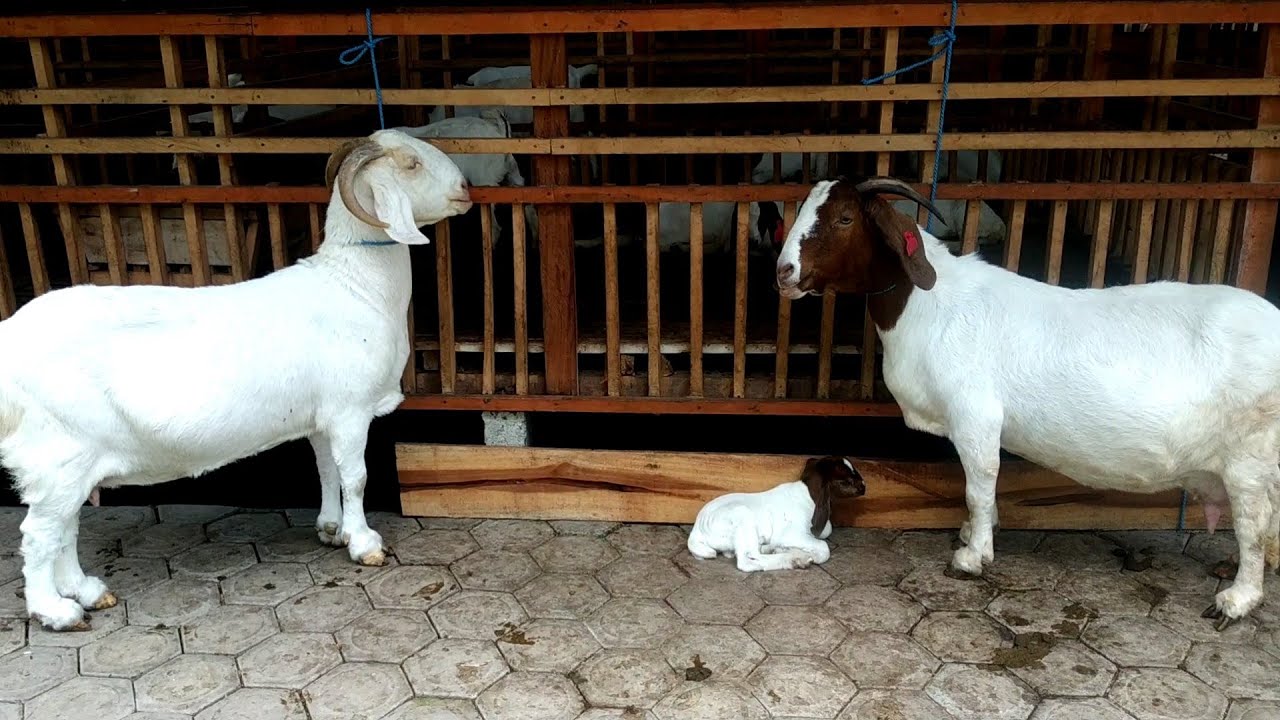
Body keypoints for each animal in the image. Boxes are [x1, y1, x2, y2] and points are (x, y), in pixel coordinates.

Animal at [0, 129, 472, 631]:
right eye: (410, 164)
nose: (465, 189)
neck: (355, 287)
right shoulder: (350, 411)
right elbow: (356, 476)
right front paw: (364, 544)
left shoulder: (321, 417)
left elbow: (326, 470)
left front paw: (331, 529)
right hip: (59, 453)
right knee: (39, 533)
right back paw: (55, 610)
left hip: (70, 461)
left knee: (65, 526)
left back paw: (86, 591)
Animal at [687, 456, 866, 572]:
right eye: (845, 481)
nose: (864, 487)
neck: (808, 496)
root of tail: (697, 530)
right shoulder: (791, 534)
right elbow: (823, 547)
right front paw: (809, 555)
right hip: (743, 518)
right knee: (747, 560)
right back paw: (793, 560)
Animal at [775, 175, 1280, 630]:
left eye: (844, 218)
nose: (784, 273)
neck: (932, 306)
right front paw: (975, 532)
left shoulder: (975, 416)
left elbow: (979, 483)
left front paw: (973, 555)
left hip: (1250, 453)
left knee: (1253, 522)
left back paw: (1235, 600)